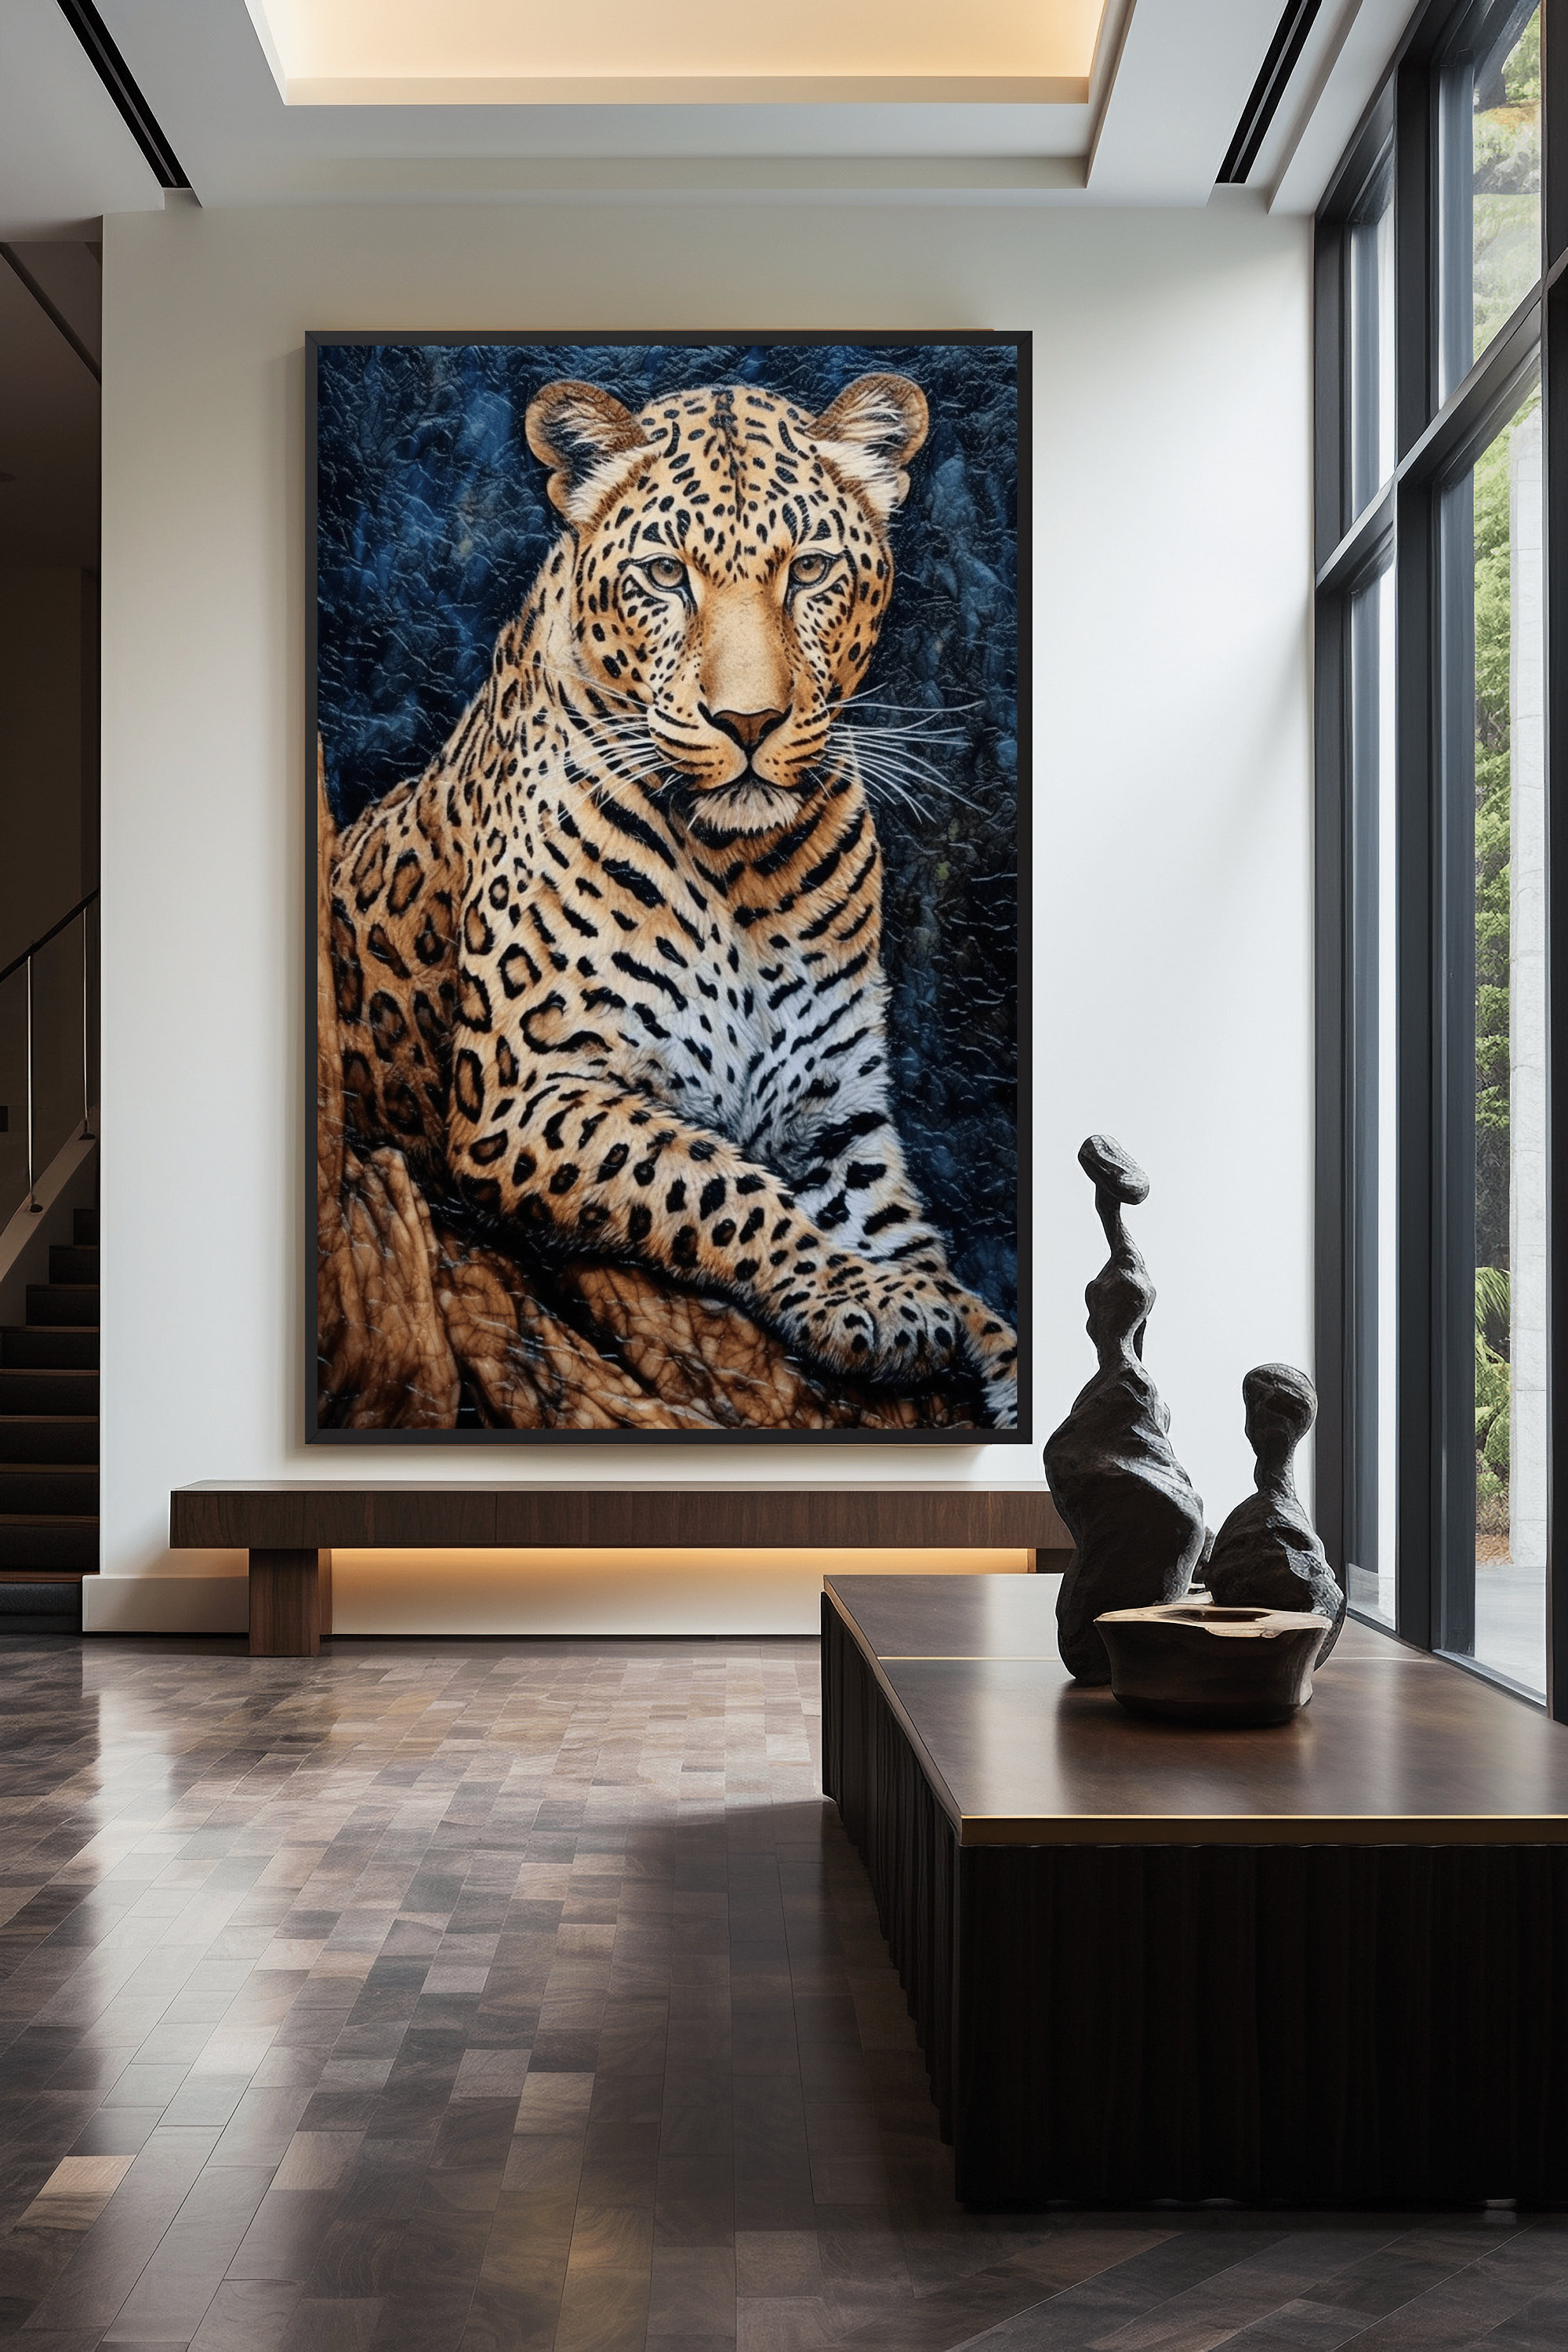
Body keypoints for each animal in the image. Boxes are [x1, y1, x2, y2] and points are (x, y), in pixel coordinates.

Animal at [325, 368, 1020, 1426]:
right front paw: (863, 1300)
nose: (748, 721)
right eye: (663, 576)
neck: (744, 871)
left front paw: (977, 1335)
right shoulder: (524, 1091)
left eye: (809, 571)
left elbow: (914, 1245)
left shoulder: (834, 1112)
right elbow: (713, 1182)